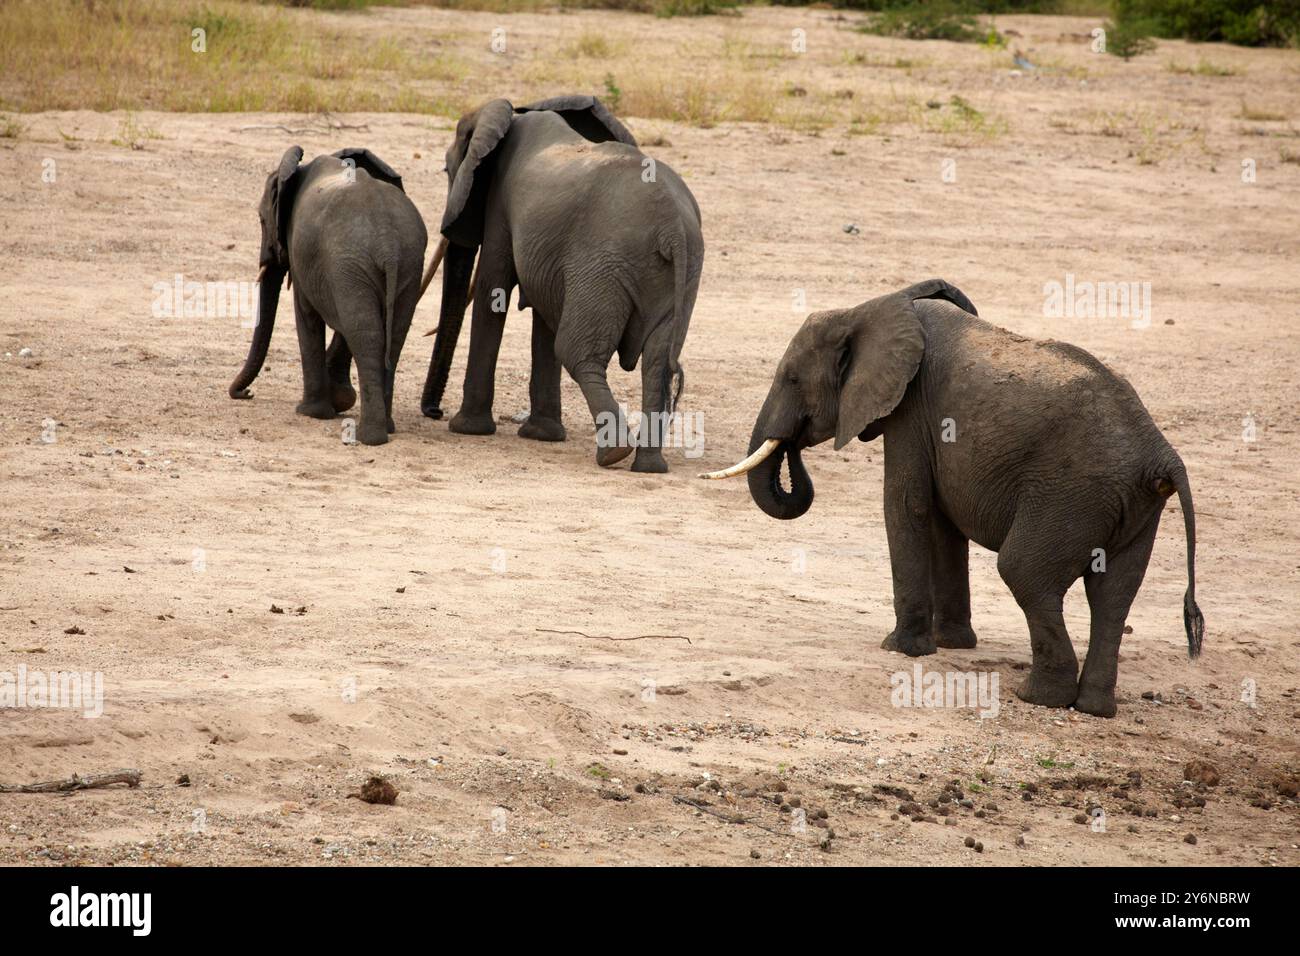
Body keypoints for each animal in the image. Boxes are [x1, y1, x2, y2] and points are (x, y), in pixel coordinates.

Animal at [229, 147, 428, 446]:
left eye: (262, 220)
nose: (246, 394)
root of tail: (388, 243)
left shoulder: (307, 260)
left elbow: (307, 316)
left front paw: (311, 412)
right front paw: (339, 400)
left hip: (352, 262)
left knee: (366, 335)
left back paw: (370, 437)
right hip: (408, 265)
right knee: (392, 337)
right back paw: (387, 427)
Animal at [418, 95, 704, 473]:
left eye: (447, 171)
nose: (434, 412)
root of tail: (671, 226)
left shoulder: (500, 206)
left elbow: (493, 289)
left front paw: (468, 429)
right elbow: (542, 312)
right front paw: (542, 435)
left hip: (604, 264)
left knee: (577, 351)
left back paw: (613, 453)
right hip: (679, 276)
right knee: (656, 362)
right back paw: (648, 466)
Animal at [702, 279, 1204, 718]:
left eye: (790, 379)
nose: (793, 444)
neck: (869, 310)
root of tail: (1162, 455)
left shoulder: (911, 409)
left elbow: (906, 506)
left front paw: (902, 649)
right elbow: (943, 525)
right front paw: (952, 644)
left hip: (1071, 494)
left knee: (1025, 572)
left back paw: (1038, 698)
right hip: (1132, 506)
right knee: (1113, 595)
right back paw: (1094, 708)